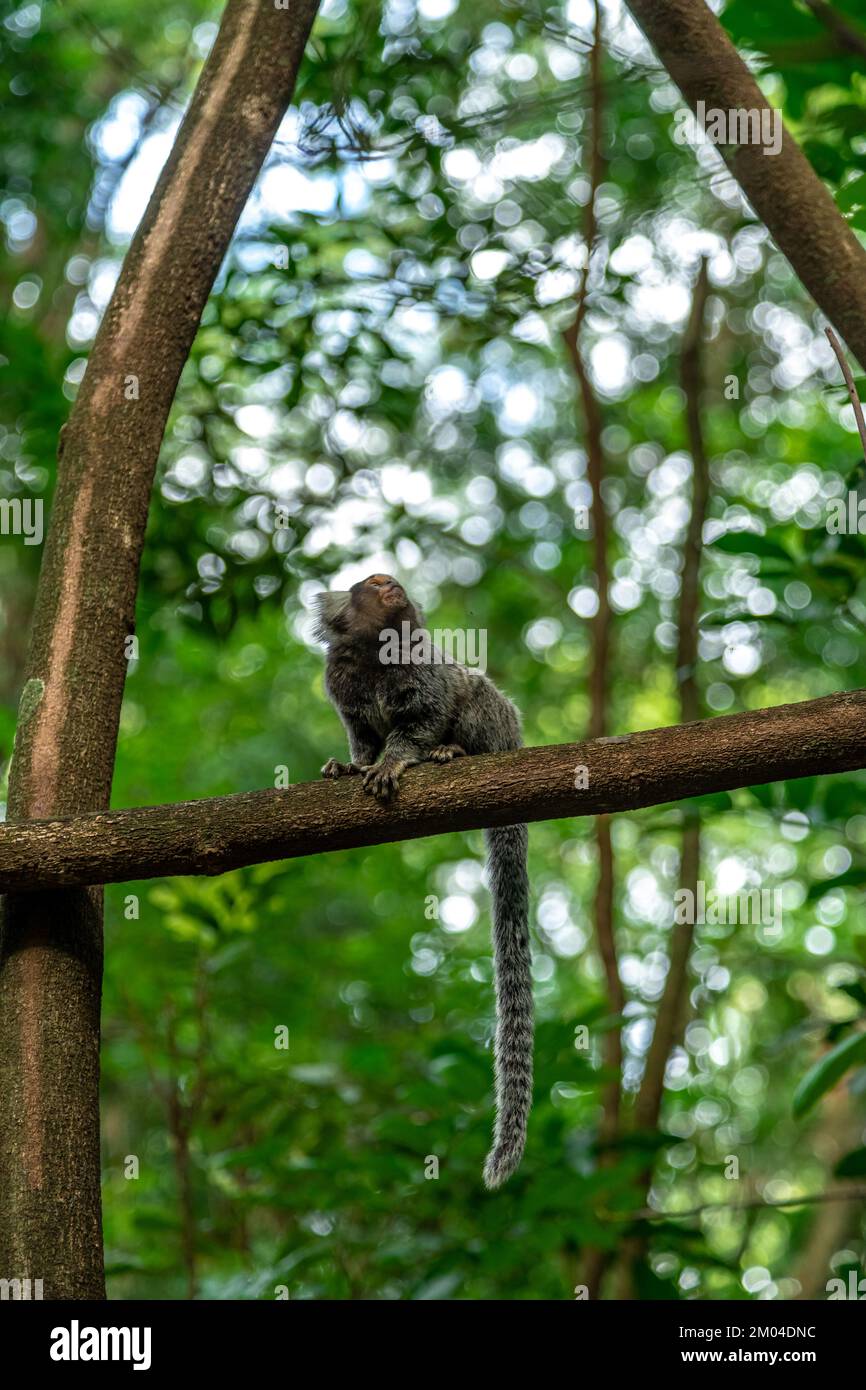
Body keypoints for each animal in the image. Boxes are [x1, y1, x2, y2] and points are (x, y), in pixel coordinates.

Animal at [315, 573, 531, 1189]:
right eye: (373, 583)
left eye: (391, 583)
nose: (391, 585)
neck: (374, 655)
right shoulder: (342, 684)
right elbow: (363, 737)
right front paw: (352, 765)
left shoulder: (423, 677)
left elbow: (419, 722)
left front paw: (397, 761)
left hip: (498, 724)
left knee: (476, 694)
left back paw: (452, 750)